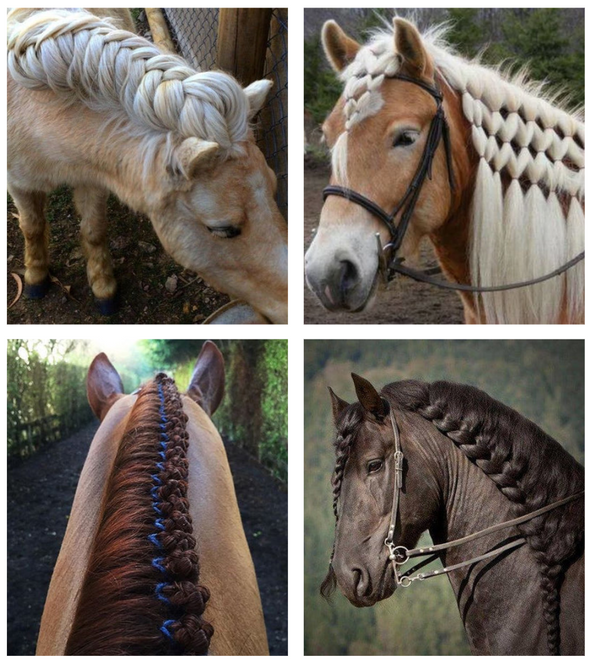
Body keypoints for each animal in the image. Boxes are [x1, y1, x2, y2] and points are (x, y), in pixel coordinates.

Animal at [7, 8, 287, 323]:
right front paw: (35, 276)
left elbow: (93, 230)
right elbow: (32, 226)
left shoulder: (92, 178)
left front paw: (103, 287)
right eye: (224, 229)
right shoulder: (17, 183)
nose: (290, 304)